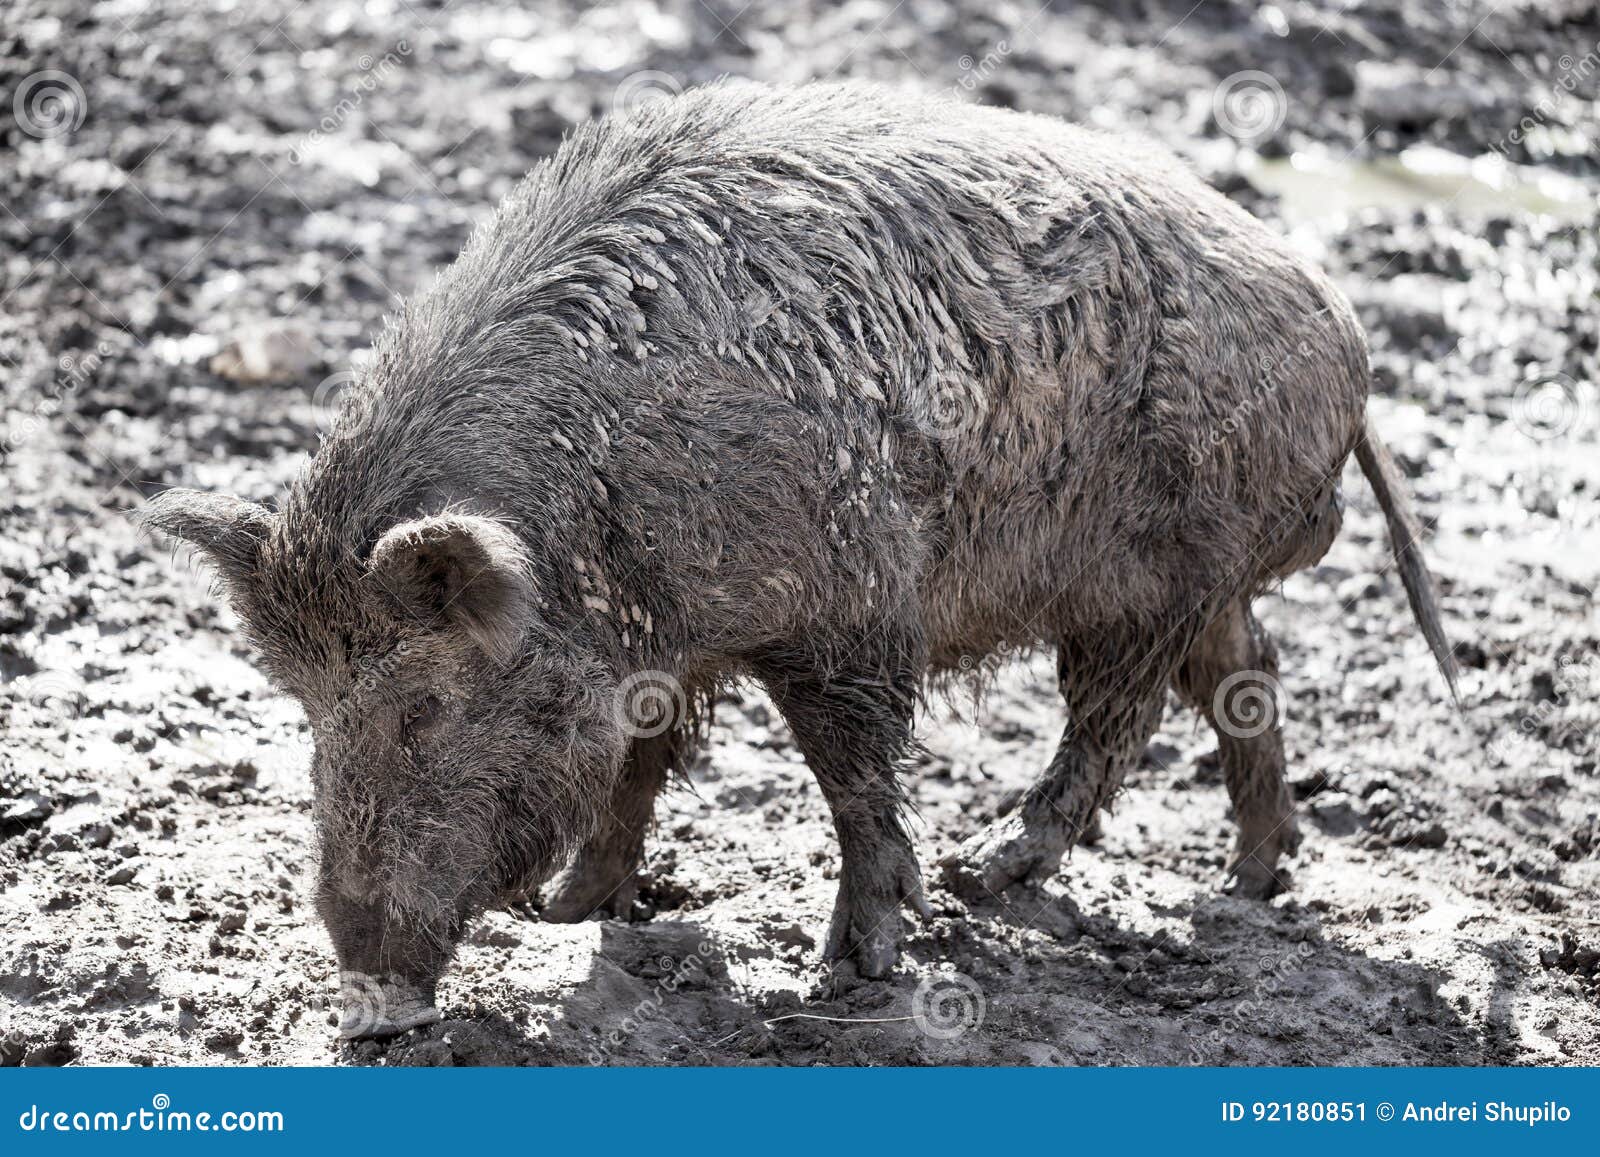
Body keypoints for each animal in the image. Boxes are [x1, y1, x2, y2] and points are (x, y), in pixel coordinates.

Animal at [144, 80, 1457, 1038]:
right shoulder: (666, 642)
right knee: (1245, 669)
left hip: (1152, 575)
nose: (370, 1004)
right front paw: (579, 911)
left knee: (1119, 717)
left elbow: (852, 771)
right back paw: (1249, 879)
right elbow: (640, 760)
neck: (591, 514)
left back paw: (992, 873)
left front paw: (853, 971)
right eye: (302, 704)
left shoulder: (848, 600)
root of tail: (1343, 331)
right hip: (1195, 580)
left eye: (422, 706)